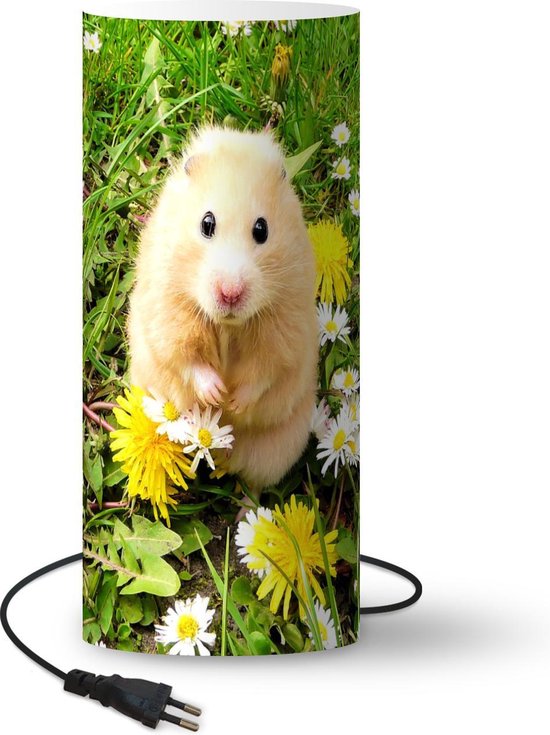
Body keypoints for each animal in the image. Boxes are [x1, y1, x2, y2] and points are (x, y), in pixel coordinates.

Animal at [128, 126, 318, 506]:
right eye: (207, 223)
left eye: (261, 229)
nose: (230, 293)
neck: (229, 325)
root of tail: (223, 453)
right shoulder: (168, 311)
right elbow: (186, 358)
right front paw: (216, 395)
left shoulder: (286, 326)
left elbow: (265, 371)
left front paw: (234, 403)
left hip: (276, 448)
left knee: (254, 483)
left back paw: (247, 513)